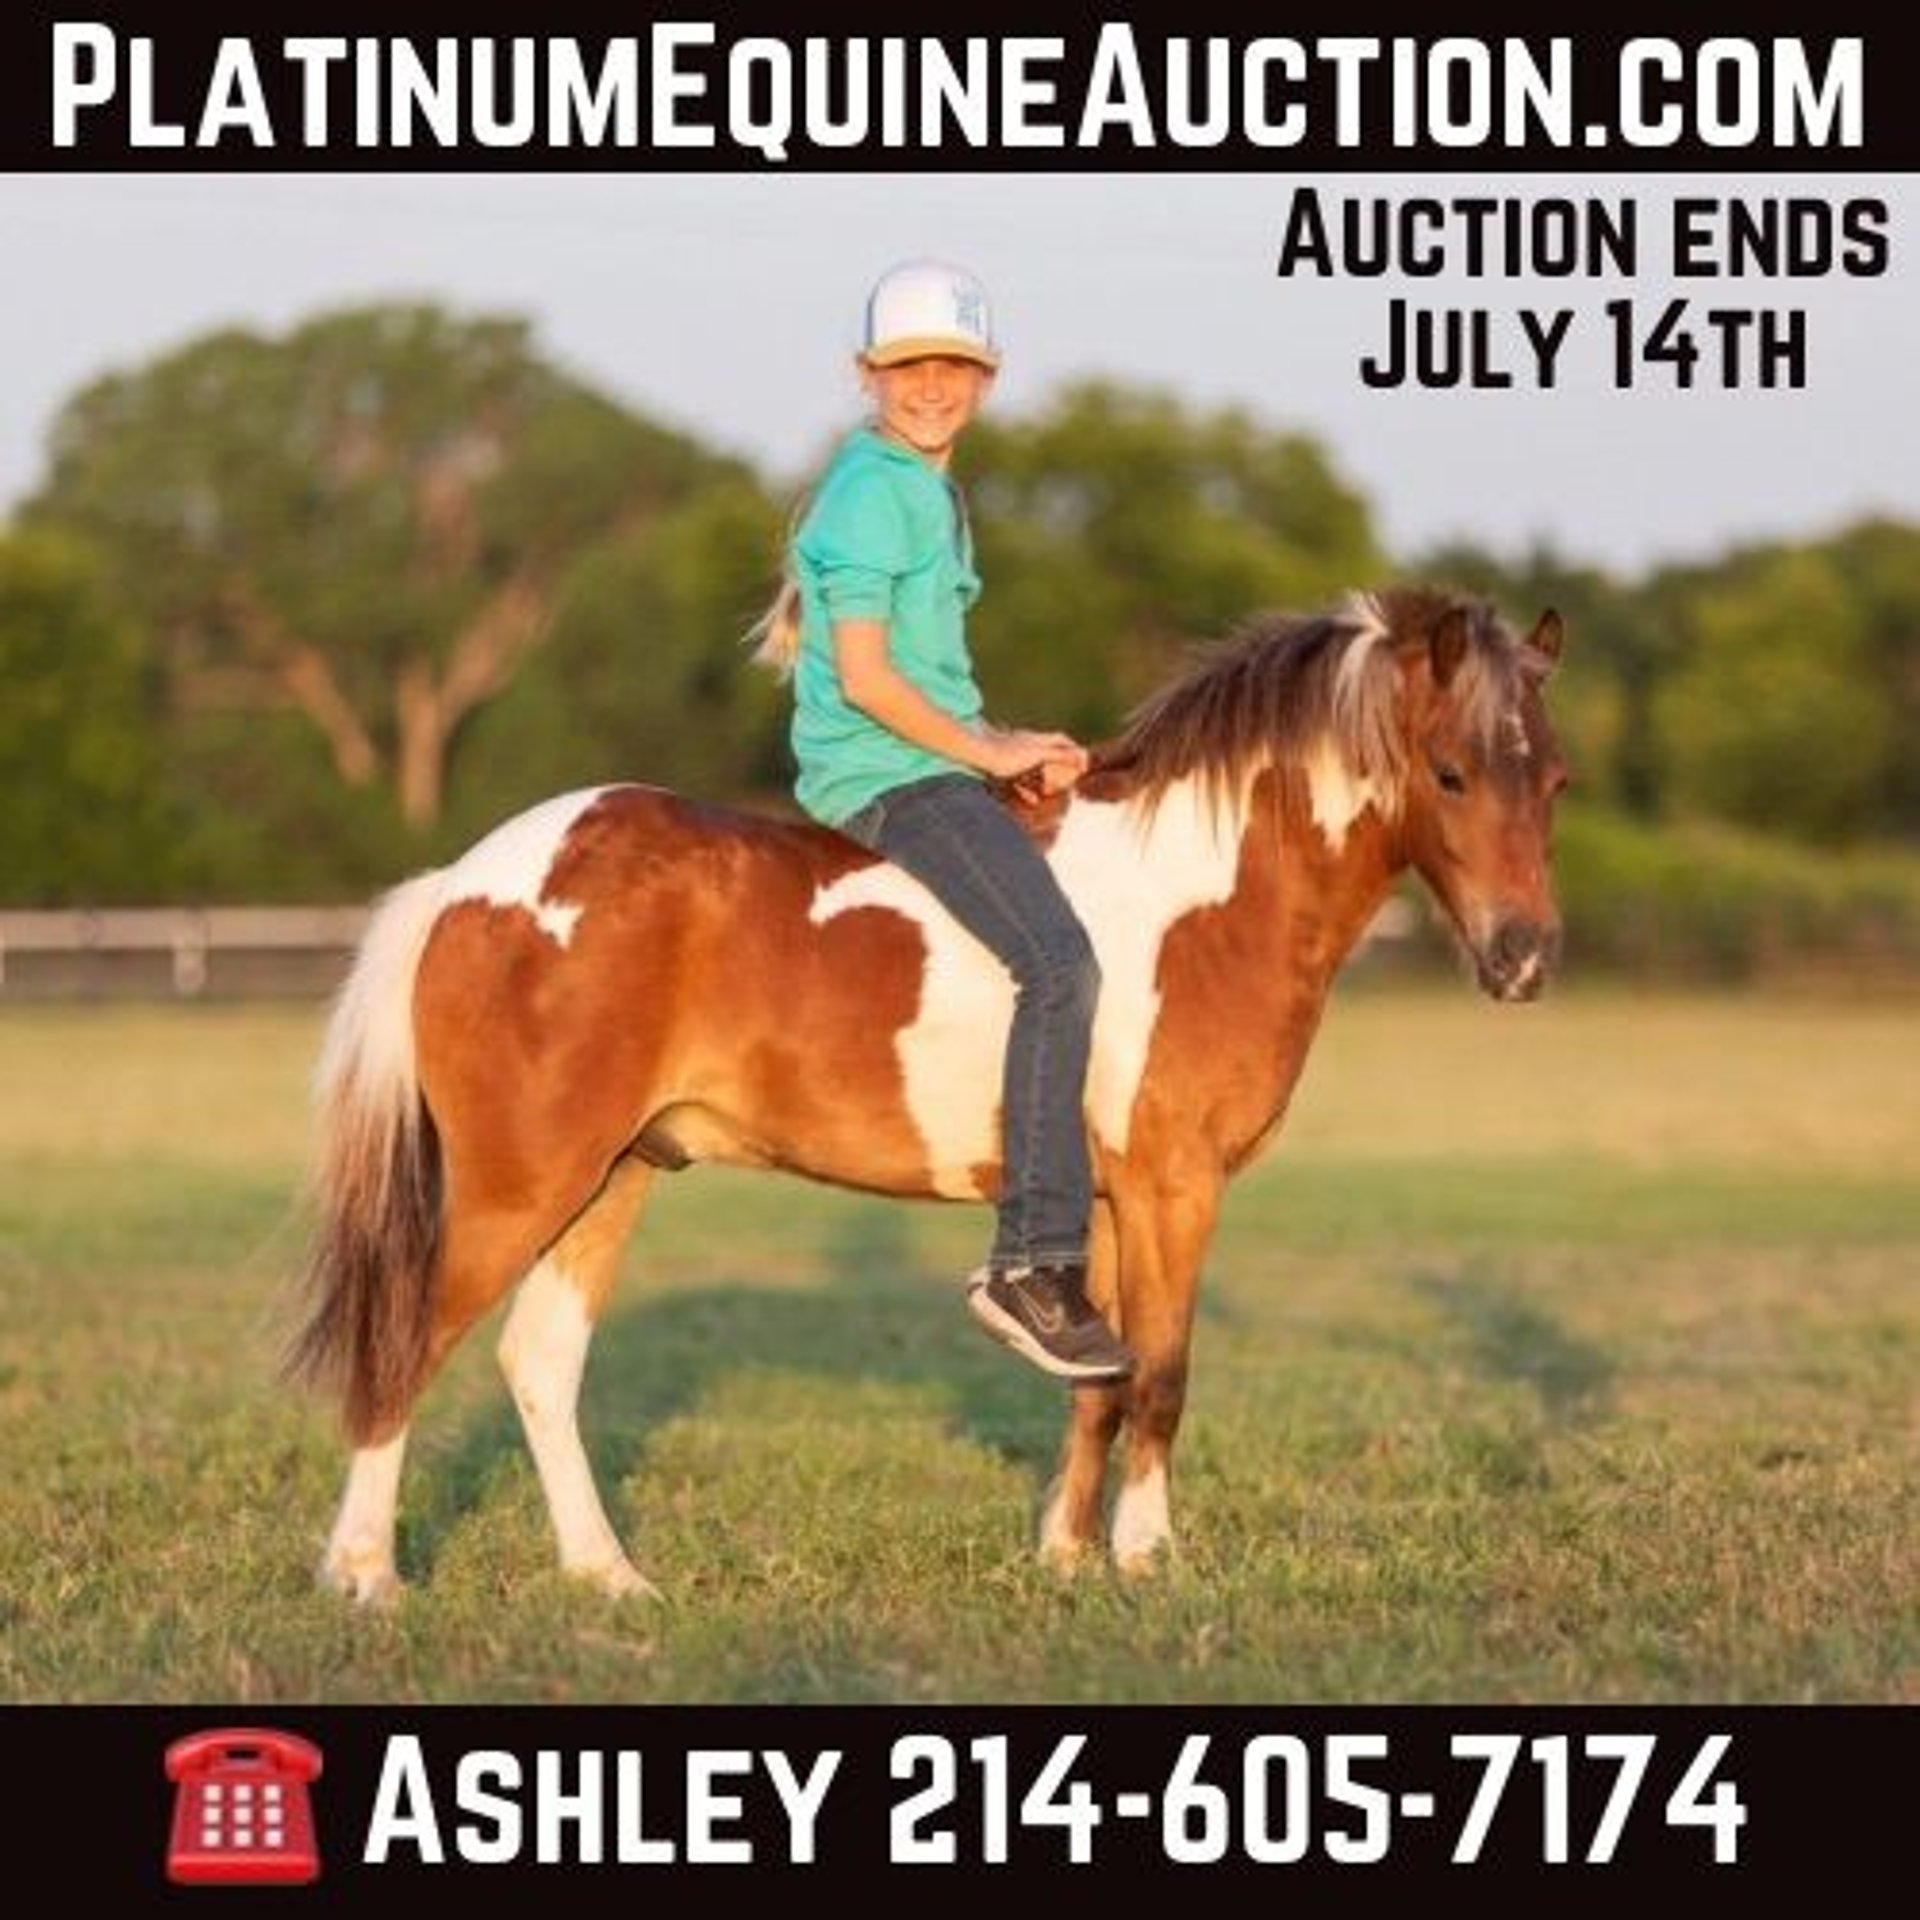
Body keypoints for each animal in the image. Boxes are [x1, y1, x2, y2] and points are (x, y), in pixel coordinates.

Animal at [285, 584, 1568, 1605]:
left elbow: (1098, 1383)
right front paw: (1149, 1558)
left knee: (541, 1366)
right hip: (524, 1182)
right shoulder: (1174, 1189)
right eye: (1451, 773)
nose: (1525, 961)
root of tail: (467, 882)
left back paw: (609, 1579)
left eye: (1552, 779)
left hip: (611, 1178)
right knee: (406, 1346)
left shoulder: (1106, 1206)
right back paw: (366, 1578)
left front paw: (1067, 1558)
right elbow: (1159, 1377)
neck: (1203, 899)